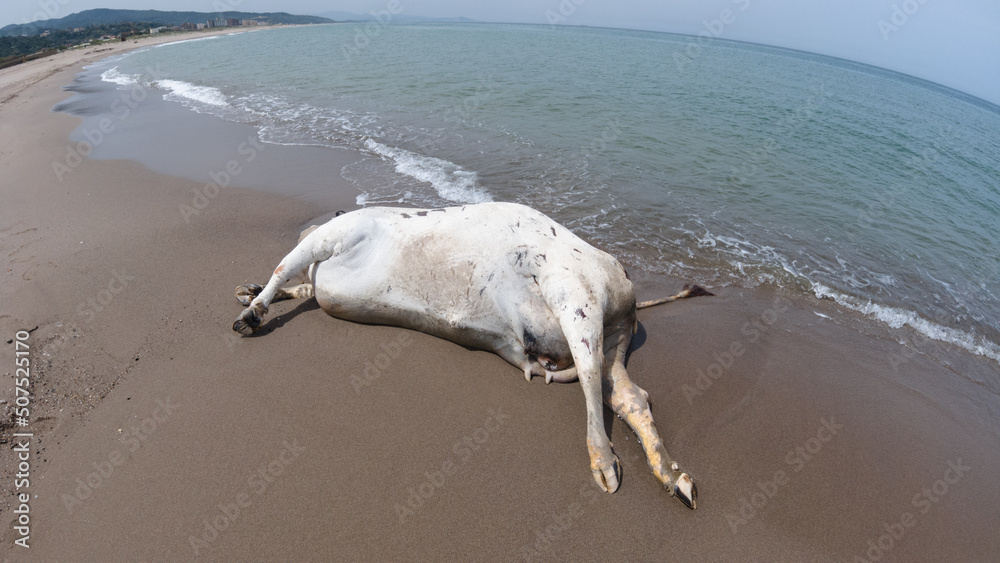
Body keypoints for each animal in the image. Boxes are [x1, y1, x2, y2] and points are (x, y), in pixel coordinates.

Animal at [233, 202, 709, 509]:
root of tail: (627, 288)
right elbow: (297, 284)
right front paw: (251, 293)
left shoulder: (335, 234)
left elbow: (283, 268)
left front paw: (252, 311)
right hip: (612, 337)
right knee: (628, 395)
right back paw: (673, 477)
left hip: (575, 295)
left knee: (592, 380)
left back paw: (605, 462)